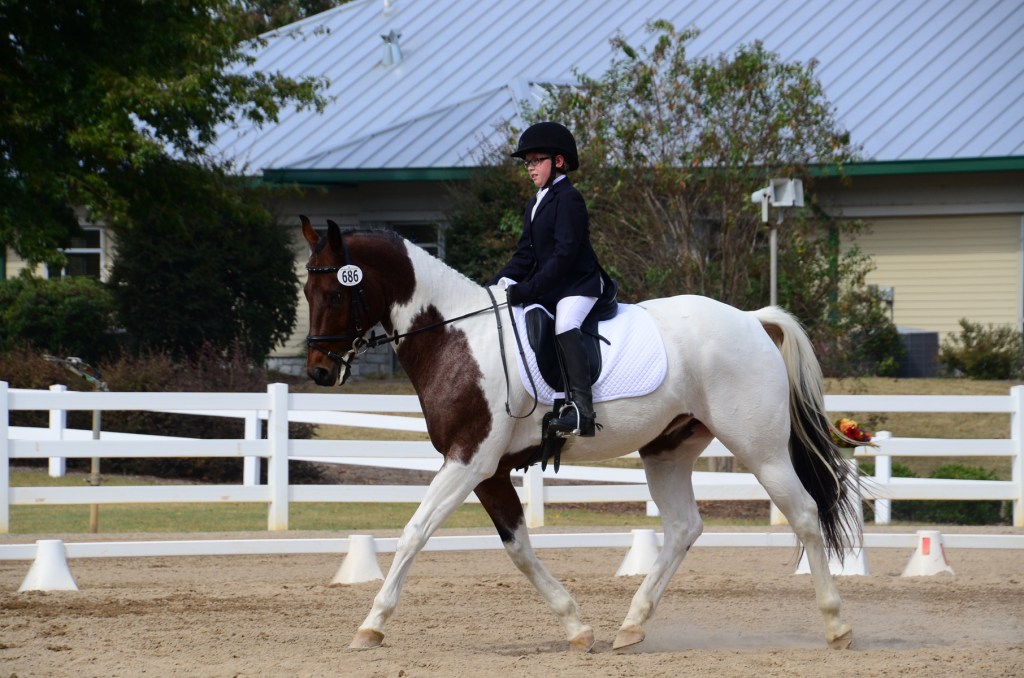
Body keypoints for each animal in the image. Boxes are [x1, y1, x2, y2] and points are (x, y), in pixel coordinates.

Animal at [300, 216, 861, 652]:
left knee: (805, 514)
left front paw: (370, 626)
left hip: (760, 449)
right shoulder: (489, 471)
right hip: (667, 451)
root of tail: (750, 319)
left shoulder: (469, 460)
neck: (458, 337)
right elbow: (518, 548)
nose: (320, 372)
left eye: (336, 292)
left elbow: (415, 532)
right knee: (684, 528)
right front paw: (576, 627)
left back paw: (837, 625)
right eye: (306, 291)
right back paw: (631, 626)